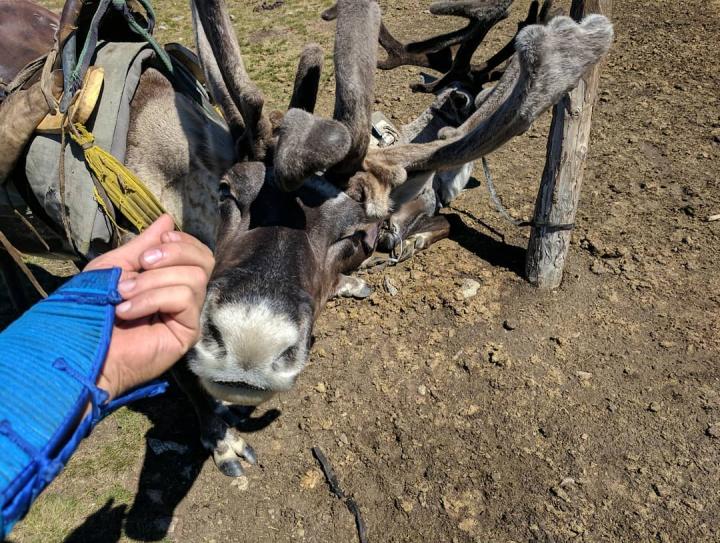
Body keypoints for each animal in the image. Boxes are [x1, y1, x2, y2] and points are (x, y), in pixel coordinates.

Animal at [1, 0, 613, 479]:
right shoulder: (117, 264)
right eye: (229, 189)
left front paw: (355, 283)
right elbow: (185, 374)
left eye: (358, 234)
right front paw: (224, 443)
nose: (251, 345)